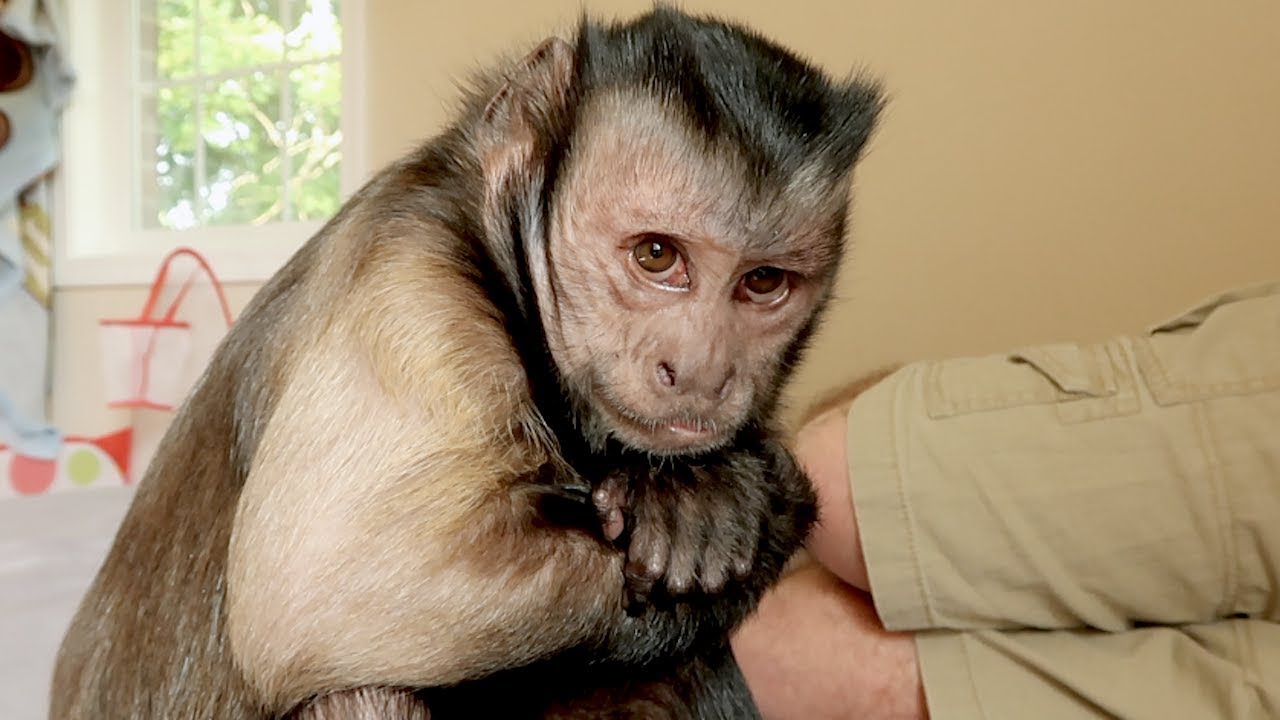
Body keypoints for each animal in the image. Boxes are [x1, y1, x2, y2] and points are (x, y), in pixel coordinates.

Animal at [50, 8, 882, 719]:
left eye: (763, 283)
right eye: (656, 256)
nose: (703, 369)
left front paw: (715, 493)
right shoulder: (414, 285)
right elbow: (326, 586)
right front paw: (742, 504)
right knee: (357, 685)